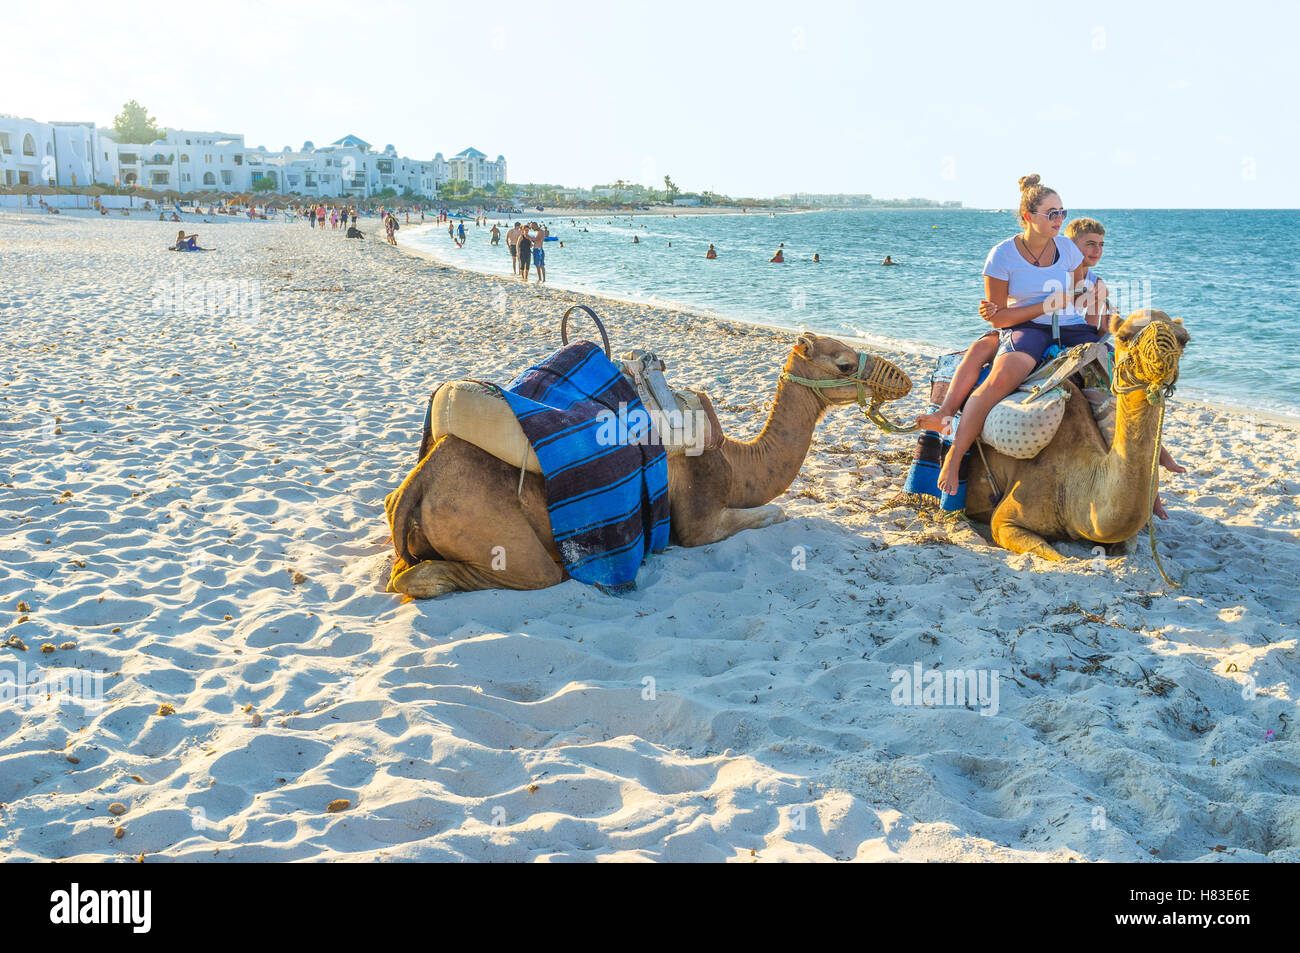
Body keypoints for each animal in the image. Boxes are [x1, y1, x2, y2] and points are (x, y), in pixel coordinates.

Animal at [384, 333, 911, 598]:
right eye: (844, 364)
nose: (902, 378)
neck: (737, 460)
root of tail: (419, 481)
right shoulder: (698, 518)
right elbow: (772, 513)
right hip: (497, 535)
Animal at [961, 309, 1190, 560]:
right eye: (1123, 336)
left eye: (1184, 339)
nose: (1161, 354)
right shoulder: (1005, 520)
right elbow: (1058, 557)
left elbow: (1127, 547)